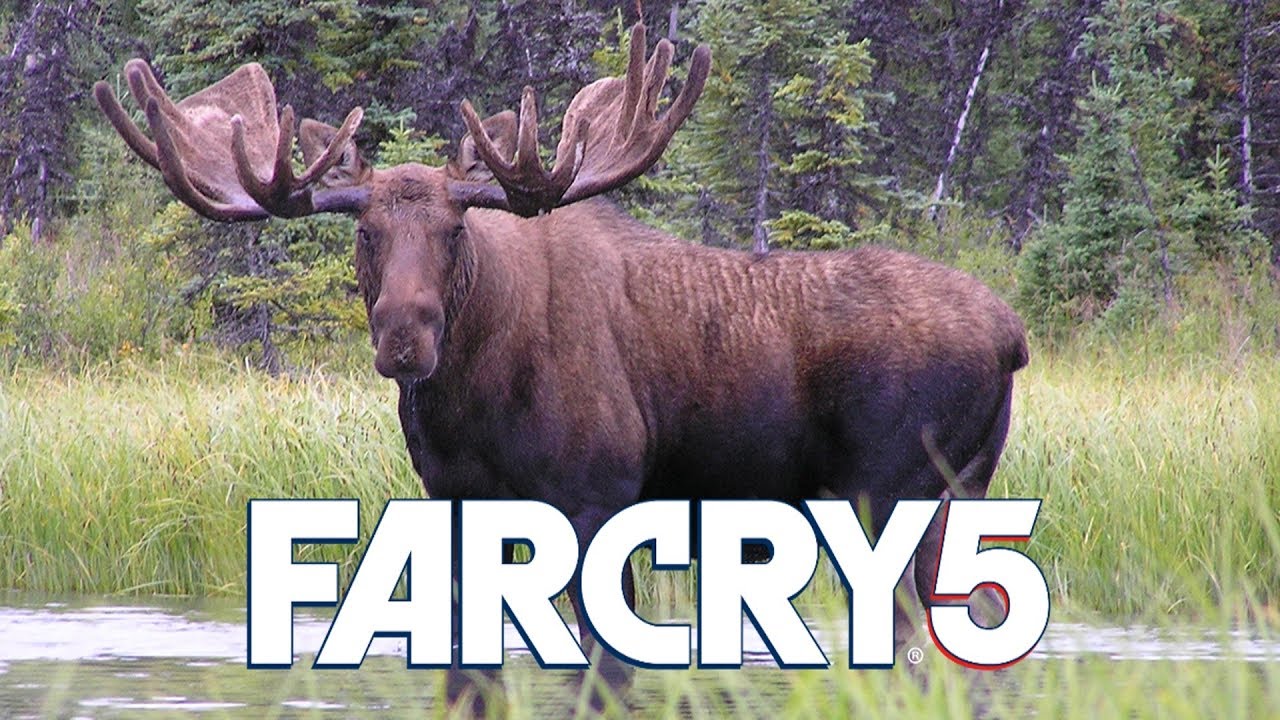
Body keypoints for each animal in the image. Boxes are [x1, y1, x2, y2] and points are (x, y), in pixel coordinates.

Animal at [96, 22, 1027, 708]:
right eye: (365, 233)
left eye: (454, 231)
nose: (404, 338)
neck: (471, 403)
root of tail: (1011, 332)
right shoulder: (456, 504)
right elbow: (467, 667)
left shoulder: (595, 498)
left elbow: (602, 671)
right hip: (961, 488)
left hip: (893, 488)